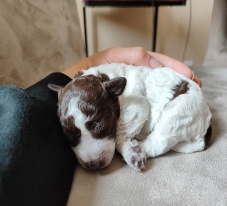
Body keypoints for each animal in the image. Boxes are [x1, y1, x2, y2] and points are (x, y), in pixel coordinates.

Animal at [48, 63, 213, 171]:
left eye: (100, 126)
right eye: (68, 135)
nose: (93, 165)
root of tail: (207, 121)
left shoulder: (137, 105)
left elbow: (122, 129)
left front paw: (131, 151)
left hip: (180, 111)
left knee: (160, 141)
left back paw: (140, 149)